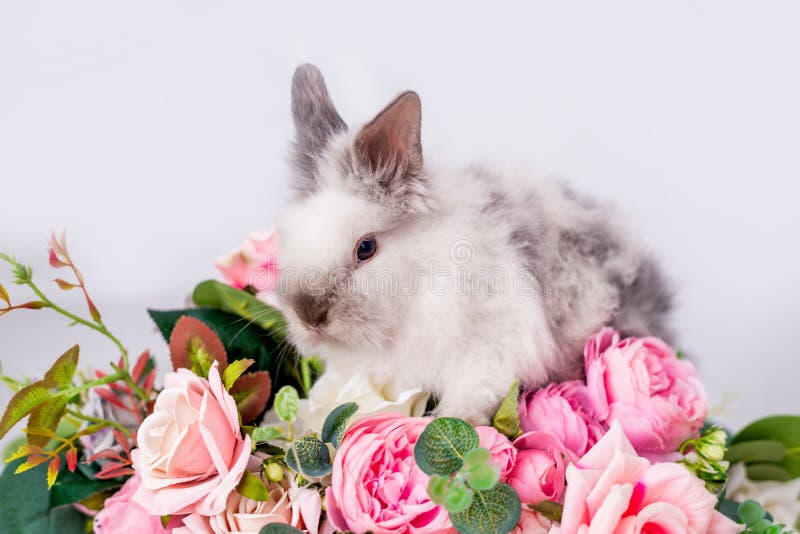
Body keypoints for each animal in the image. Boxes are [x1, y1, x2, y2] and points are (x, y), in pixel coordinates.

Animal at [276, 64, 673, 425]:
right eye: (287, 238)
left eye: (366, 248)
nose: (310, 317)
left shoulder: (494, 346)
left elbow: (475, 394)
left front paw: (452, 422)